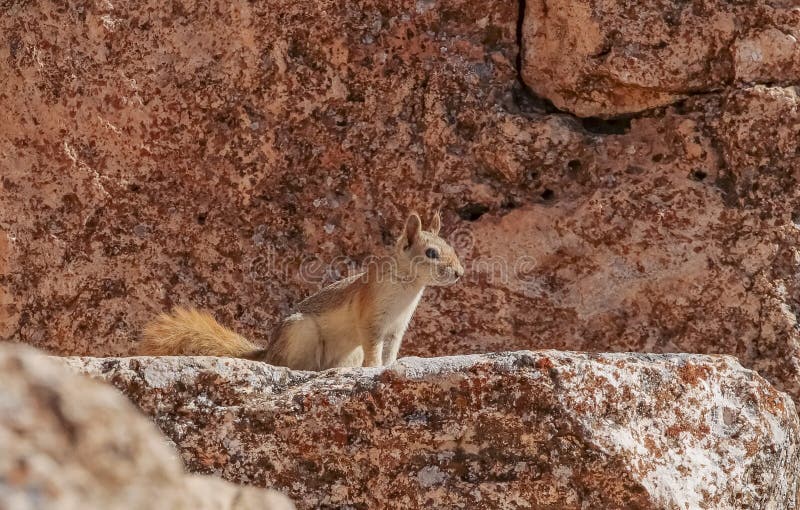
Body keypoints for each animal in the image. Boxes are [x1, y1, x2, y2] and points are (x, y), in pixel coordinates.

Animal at [138, 211, 464, 370]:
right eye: (432, 253)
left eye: (451, 245)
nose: (460, 273)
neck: (408, 289)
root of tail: (267, 353)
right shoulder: (371, 317)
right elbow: (374, 347)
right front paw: (373, 368)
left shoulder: (397, 327)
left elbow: (391, 351)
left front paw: (392, 365)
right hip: (302, 332)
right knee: (292, 365)